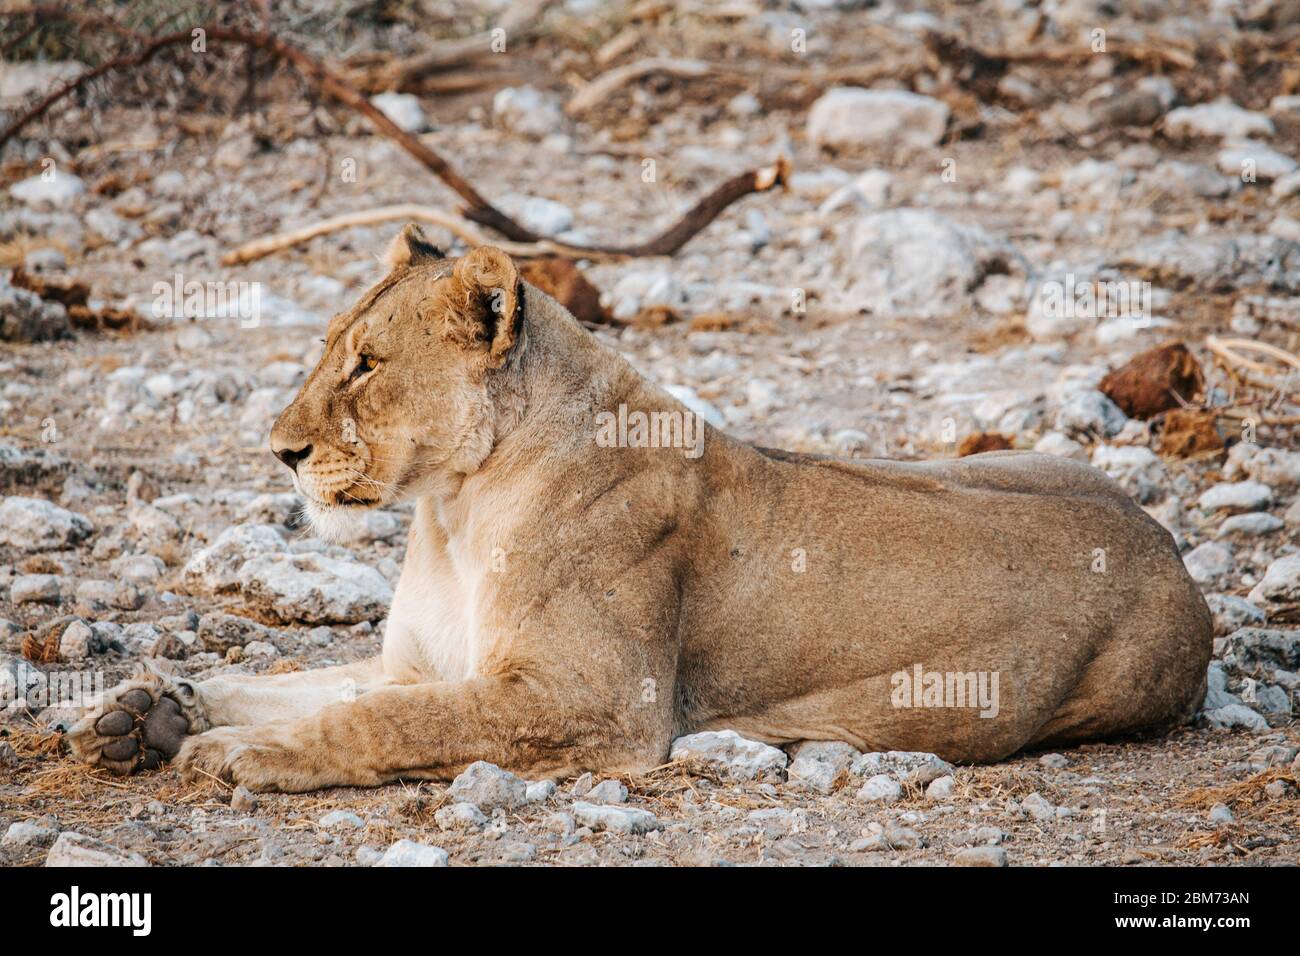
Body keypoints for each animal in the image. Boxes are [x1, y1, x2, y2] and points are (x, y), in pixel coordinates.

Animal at [68, 224, 1212, 793]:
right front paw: (142, 712)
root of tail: (1170, 551)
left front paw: (238, 756)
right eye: (327, 350)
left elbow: (379, 718)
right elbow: (297, 683)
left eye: (366, 364)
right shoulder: (423, 661)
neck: (453, 511)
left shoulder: (599, 700)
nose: (280, 450)